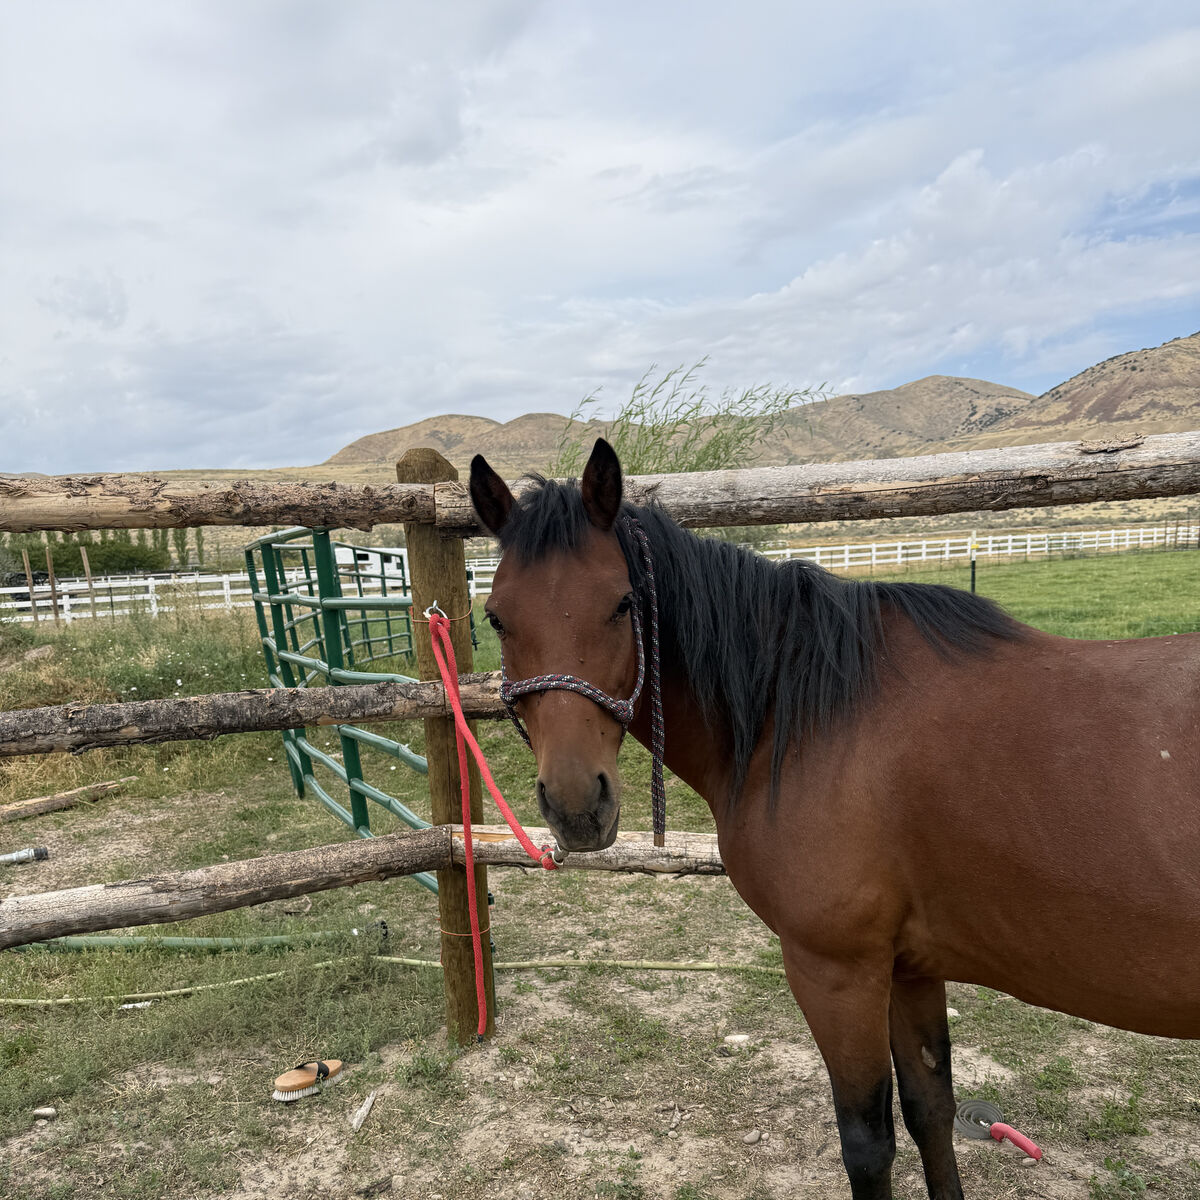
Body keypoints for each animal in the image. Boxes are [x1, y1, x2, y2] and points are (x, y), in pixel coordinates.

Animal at [468, 438, 1200, 1200]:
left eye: (623, 603)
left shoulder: (836, 973)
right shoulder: (909, 966)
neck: (805, 714)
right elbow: (931, 1110)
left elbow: (867, 1143)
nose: (577, 805)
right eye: (495, 618)